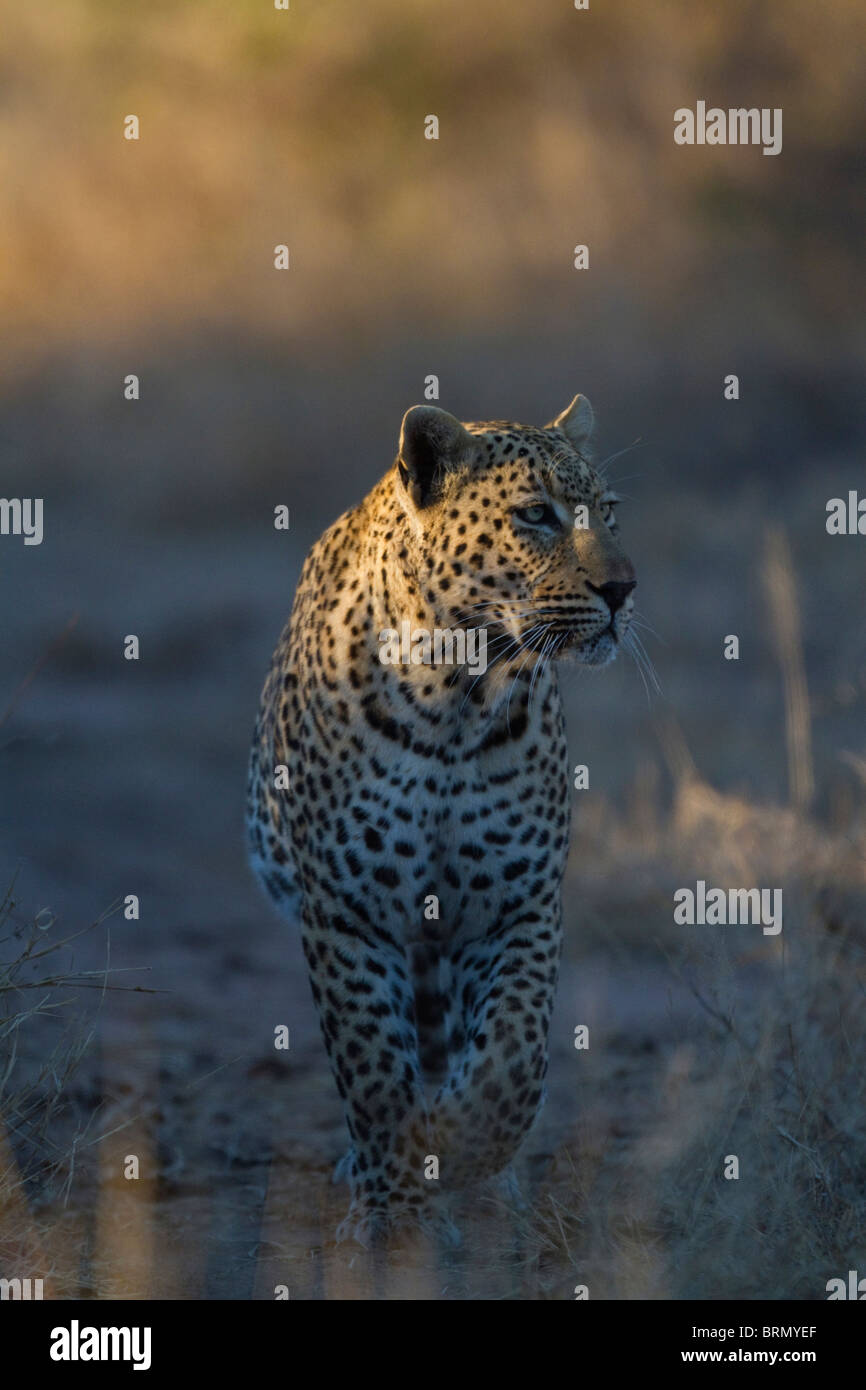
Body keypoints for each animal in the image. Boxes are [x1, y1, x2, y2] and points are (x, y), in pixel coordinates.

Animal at [246, 392, 636, 1245]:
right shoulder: (349, 915)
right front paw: (392, 1212)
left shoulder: (518, 905)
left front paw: (464, 1152)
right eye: (537, 515)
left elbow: (513, 1058)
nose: (624, 590)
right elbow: (373, 1073)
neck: (456, 694)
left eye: (610, 512)